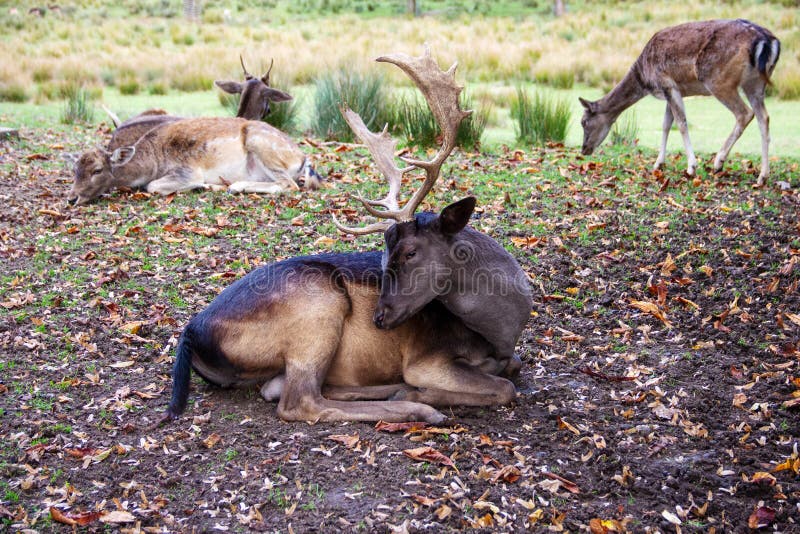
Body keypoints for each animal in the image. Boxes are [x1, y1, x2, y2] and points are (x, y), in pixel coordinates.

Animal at [165, 48, 533, 424]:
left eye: (409, 252)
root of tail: (192, 333)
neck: (500, 331)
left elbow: (514, 367)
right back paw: (417, 406)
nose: (379, 317)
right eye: (386, 253)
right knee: (300, 400)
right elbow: (505, 387)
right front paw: (422, 393)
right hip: (318, 307)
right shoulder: (427, 359)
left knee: (283, 388)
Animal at [579, 19, 780, 187]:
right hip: (756, 83)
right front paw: (658, 164)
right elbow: (666, 124)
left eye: (584, 122)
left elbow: (681, 123)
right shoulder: (674, 90)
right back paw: (763, 176)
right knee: (764, 117)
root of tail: (767, 41)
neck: (644, 77)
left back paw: (718, 162)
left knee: (745, 113)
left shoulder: (667, 83)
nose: (583, 149)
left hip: (718, 79)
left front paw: (691, 167)